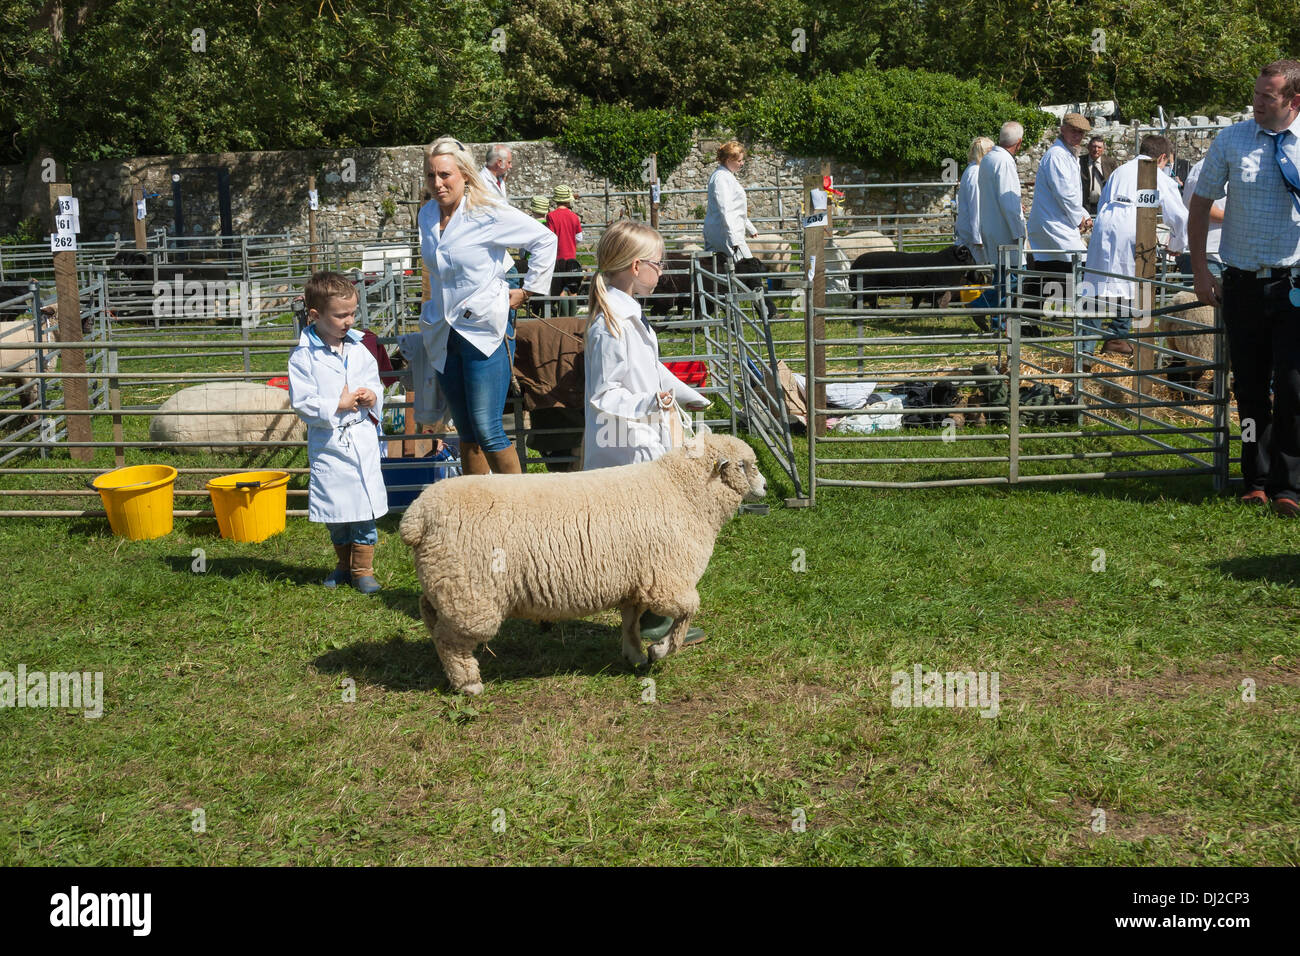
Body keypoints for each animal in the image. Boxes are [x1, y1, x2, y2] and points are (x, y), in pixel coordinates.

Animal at [398, 430, 767, 695]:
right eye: (744, 464)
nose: (764, 486)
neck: (682, 492)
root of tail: (417, 517)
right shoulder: (666, 581)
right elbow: (689, 610)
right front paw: (660, 650)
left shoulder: (635, 583)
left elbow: (631, 623)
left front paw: (635, 655)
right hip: (471, 596)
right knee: (450, 640)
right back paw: (468, 684)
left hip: (446, 582)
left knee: (429, 614)